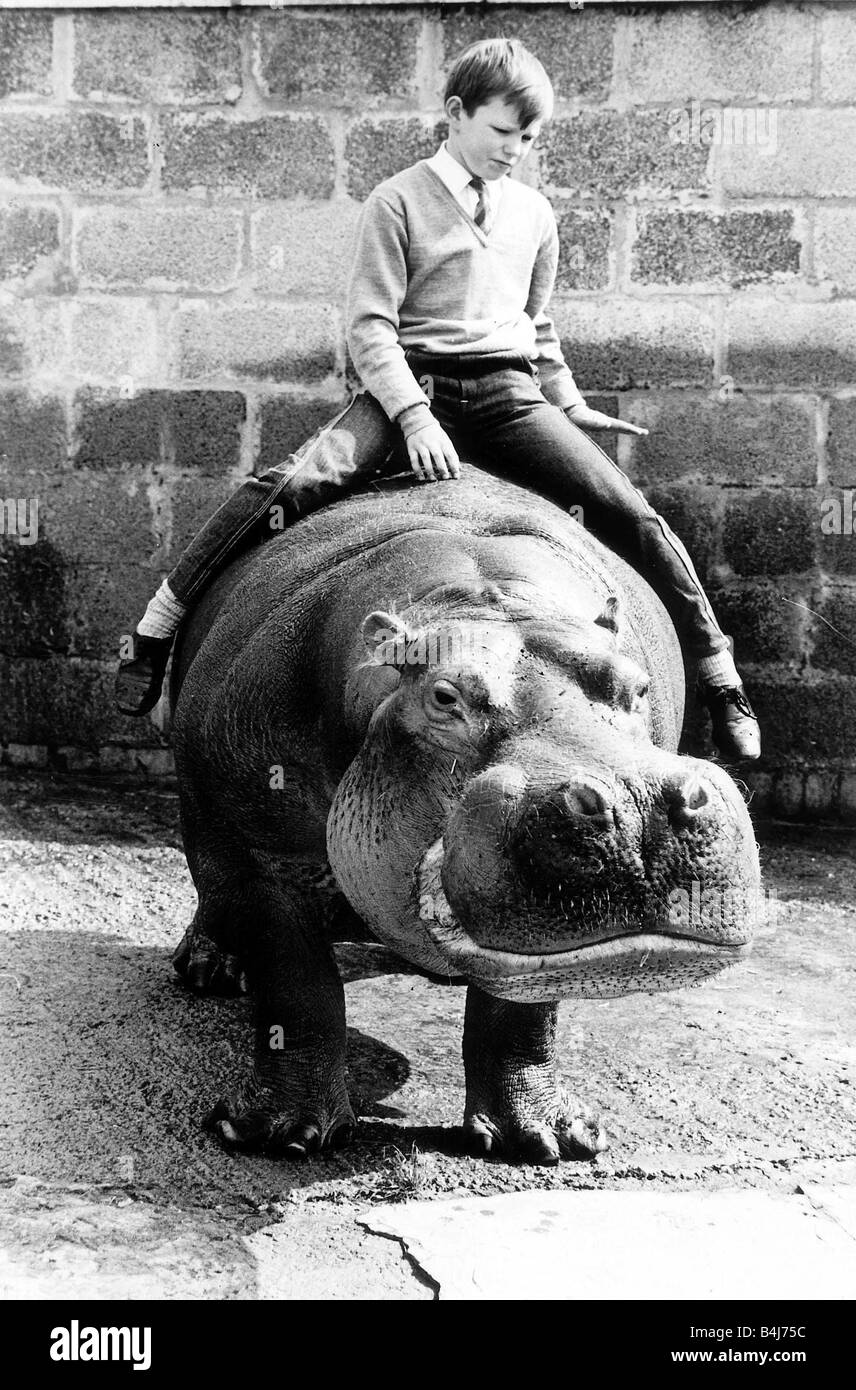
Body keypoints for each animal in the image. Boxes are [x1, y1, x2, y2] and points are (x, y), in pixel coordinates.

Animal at [169, 464, 760, 1165]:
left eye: (635, 686)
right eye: (444, 697)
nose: (638, 808)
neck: (475, 599)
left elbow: (522, 1015)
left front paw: (548, 1140)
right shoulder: (261, 854)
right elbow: (296, 986)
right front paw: (276, 1136)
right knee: (213, 896)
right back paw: (207, 969)